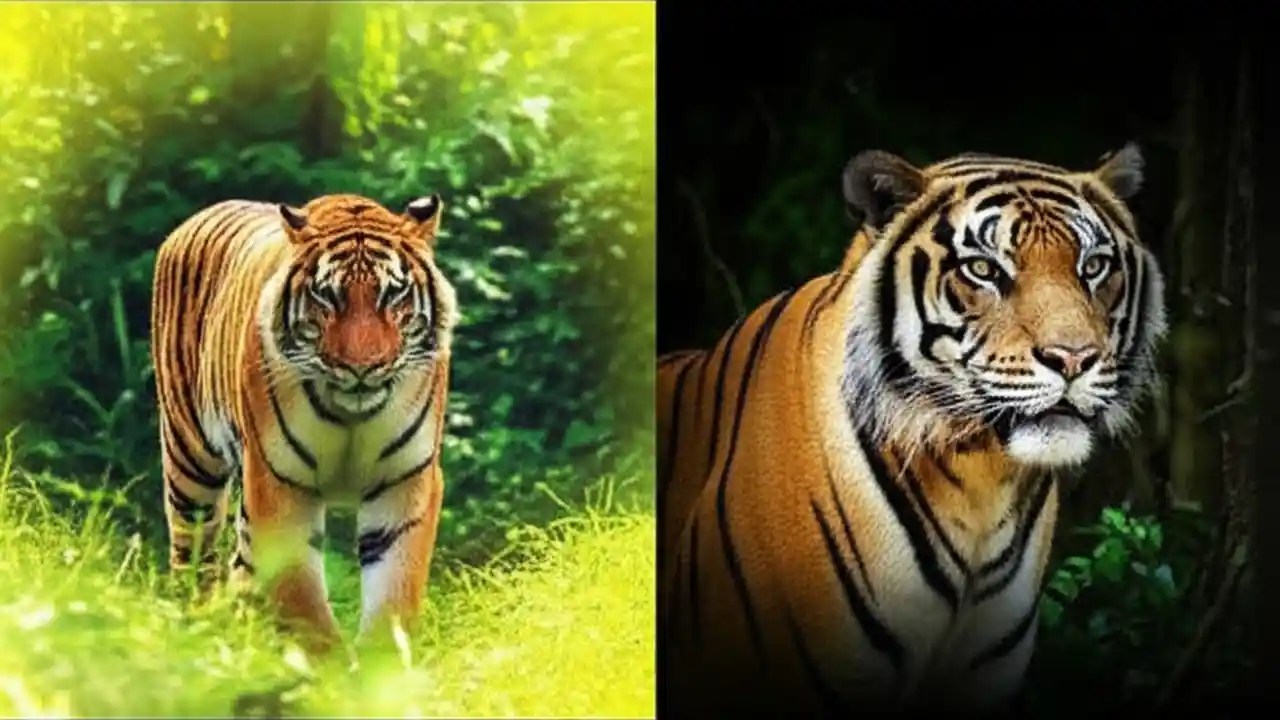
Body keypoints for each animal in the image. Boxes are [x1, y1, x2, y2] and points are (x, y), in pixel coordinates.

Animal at [149, 191, 458, 652]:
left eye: (393, 295)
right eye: (327, 297)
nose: (362, 367)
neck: (352, 414)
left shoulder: (405, 482)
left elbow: (394, 597)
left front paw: (381, 667)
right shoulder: (278, 484)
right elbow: (302, 602)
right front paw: (327, 667)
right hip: (191, 465)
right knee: (192, 559)